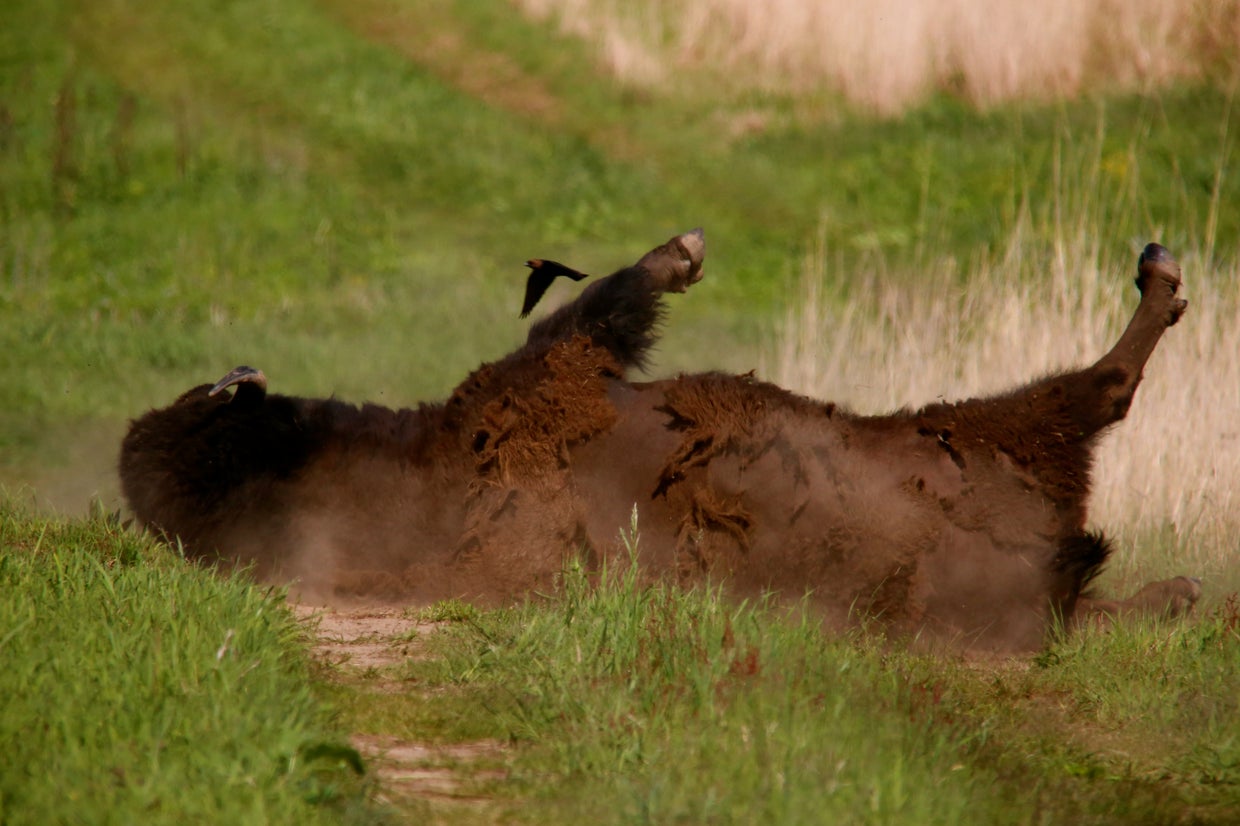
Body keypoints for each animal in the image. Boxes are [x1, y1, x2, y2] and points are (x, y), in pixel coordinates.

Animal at [119, 230, 1199, 653]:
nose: (236, 374)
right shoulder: (551, 372)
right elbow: (602, 303)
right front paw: (681, 253)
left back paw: (1179, 593)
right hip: (985, 428)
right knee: (1102, 389)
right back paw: (1161, 275)